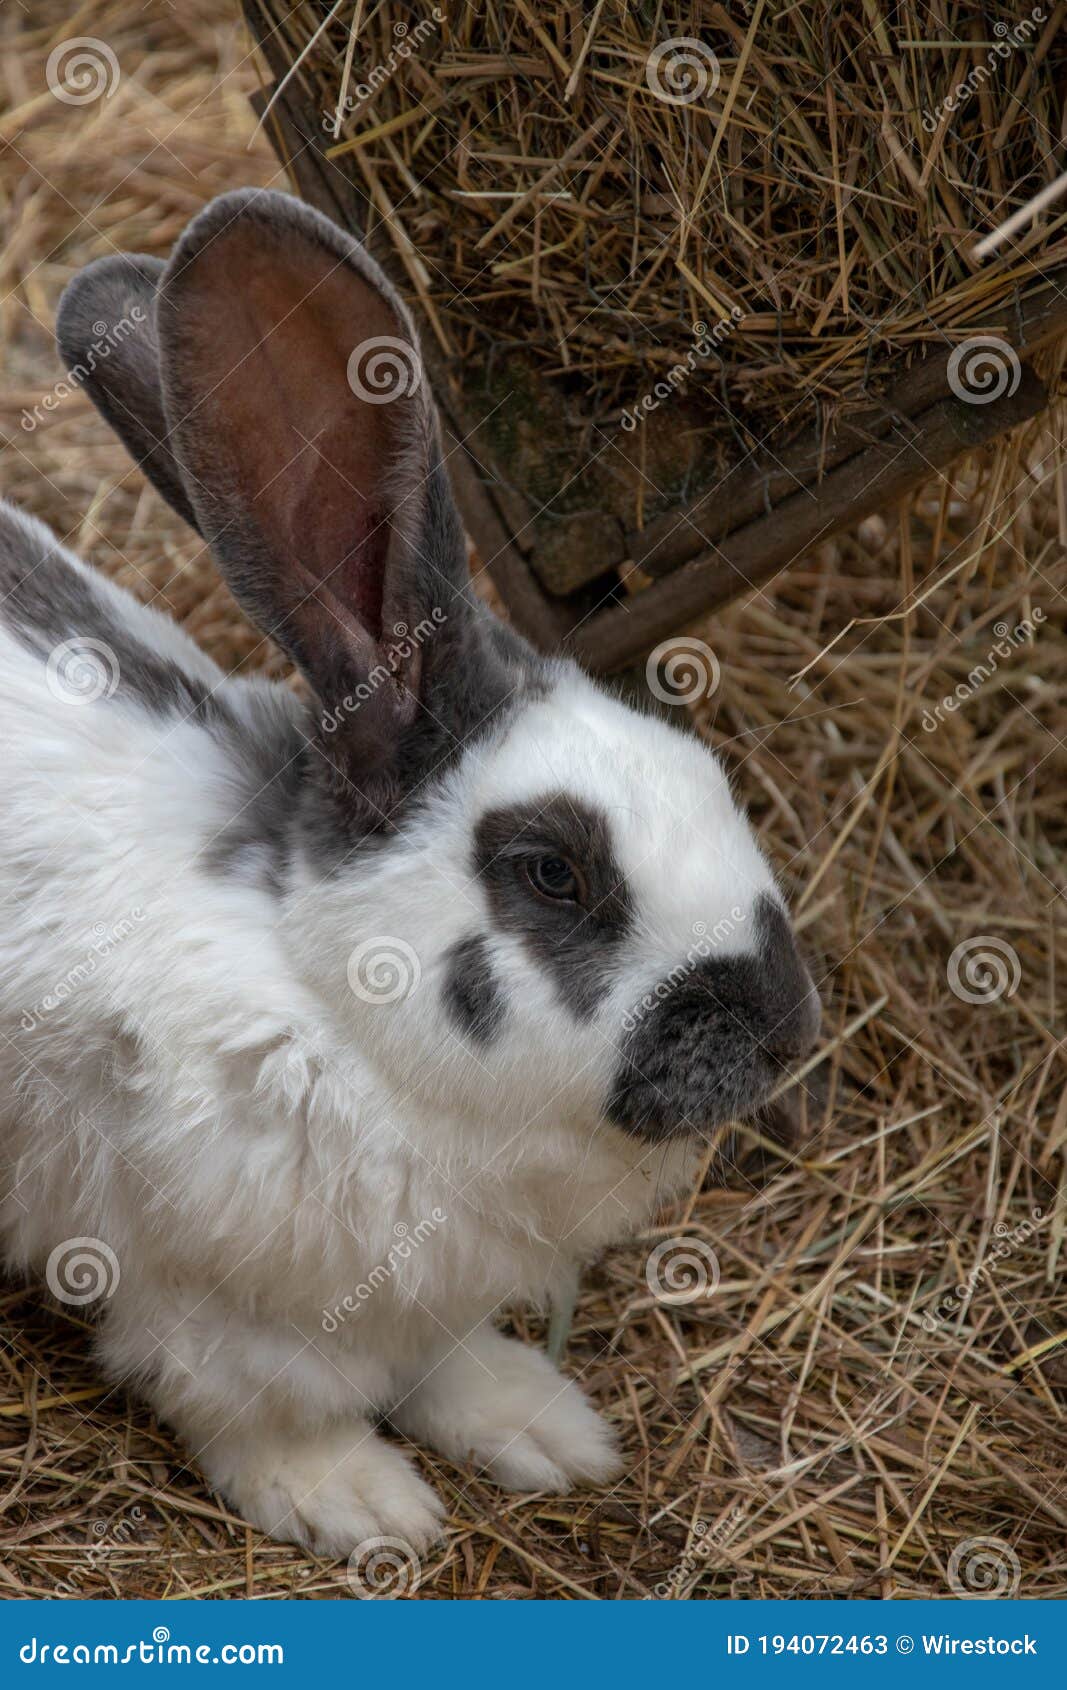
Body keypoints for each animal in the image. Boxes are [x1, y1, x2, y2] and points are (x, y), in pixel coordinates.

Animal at [0, 189, 820, 1558]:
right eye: (549, 873)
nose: (781, 1029)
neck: (320, 1003)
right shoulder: (195, 1292)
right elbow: (254, 1408)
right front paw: (355, 1501)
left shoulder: (421, 1295)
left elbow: (448, 1360)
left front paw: (540, 1423)